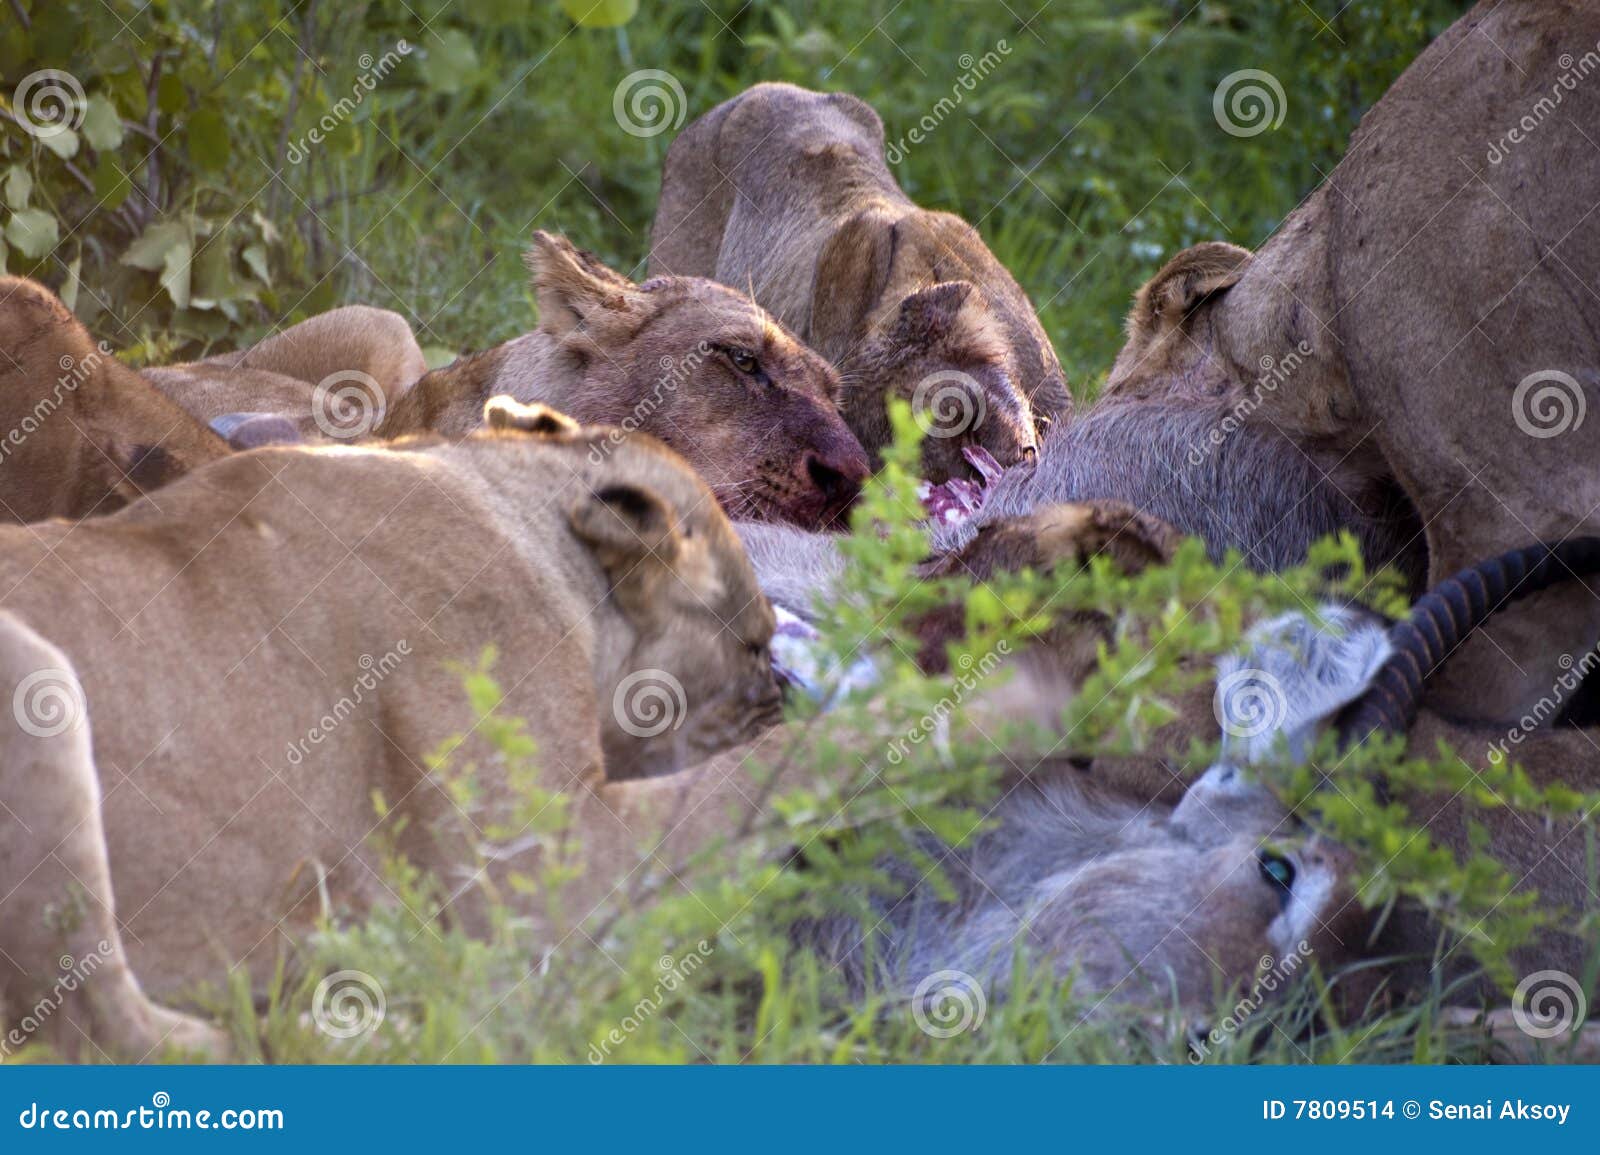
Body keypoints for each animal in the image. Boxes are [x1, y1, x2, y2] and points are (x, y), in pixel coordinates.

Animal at [0, 398, 781, 1060]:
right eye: (756, 643)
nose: (784, 691)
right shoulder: (531, 877)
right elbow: (740, 785)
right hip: (37, 678)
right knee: (119, 1031)